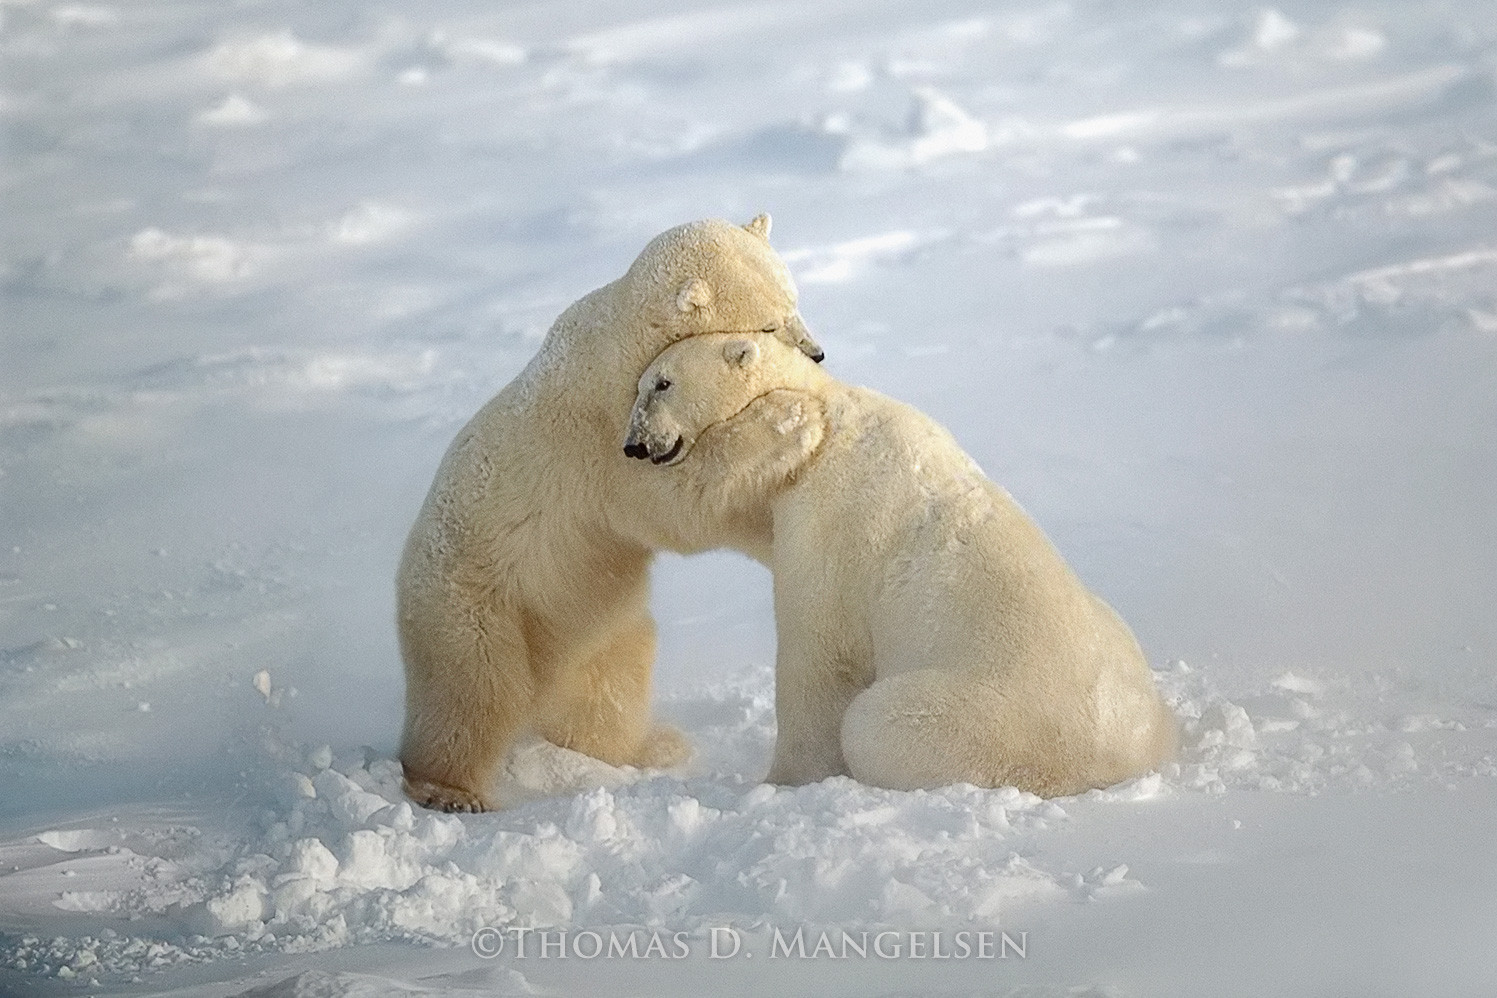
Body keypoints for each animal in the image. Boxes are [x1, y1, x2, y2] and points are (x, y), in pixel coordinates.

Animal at [397, 216, 824, 812]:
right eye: (767, 323)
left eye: (794, 301)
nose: (817, 354)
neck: (620, 343)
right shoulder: (602, 442)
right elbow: (678, 501)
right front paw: (789, 418)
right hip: (472, 605)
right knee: (471, 694)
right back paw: (449, 790)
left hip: (595, 625)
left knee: (607, 688)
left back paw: (651, 747)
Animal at [623, 332, 1177, 797]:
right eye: (643, 384)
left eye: (662, 382)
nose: (633, 444)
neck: (832, 415)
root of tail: (1122, 758)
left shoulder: (830, 523)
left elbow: (820, 656)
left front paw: (783, 781)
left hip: (988, 718)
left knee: (873, 723)